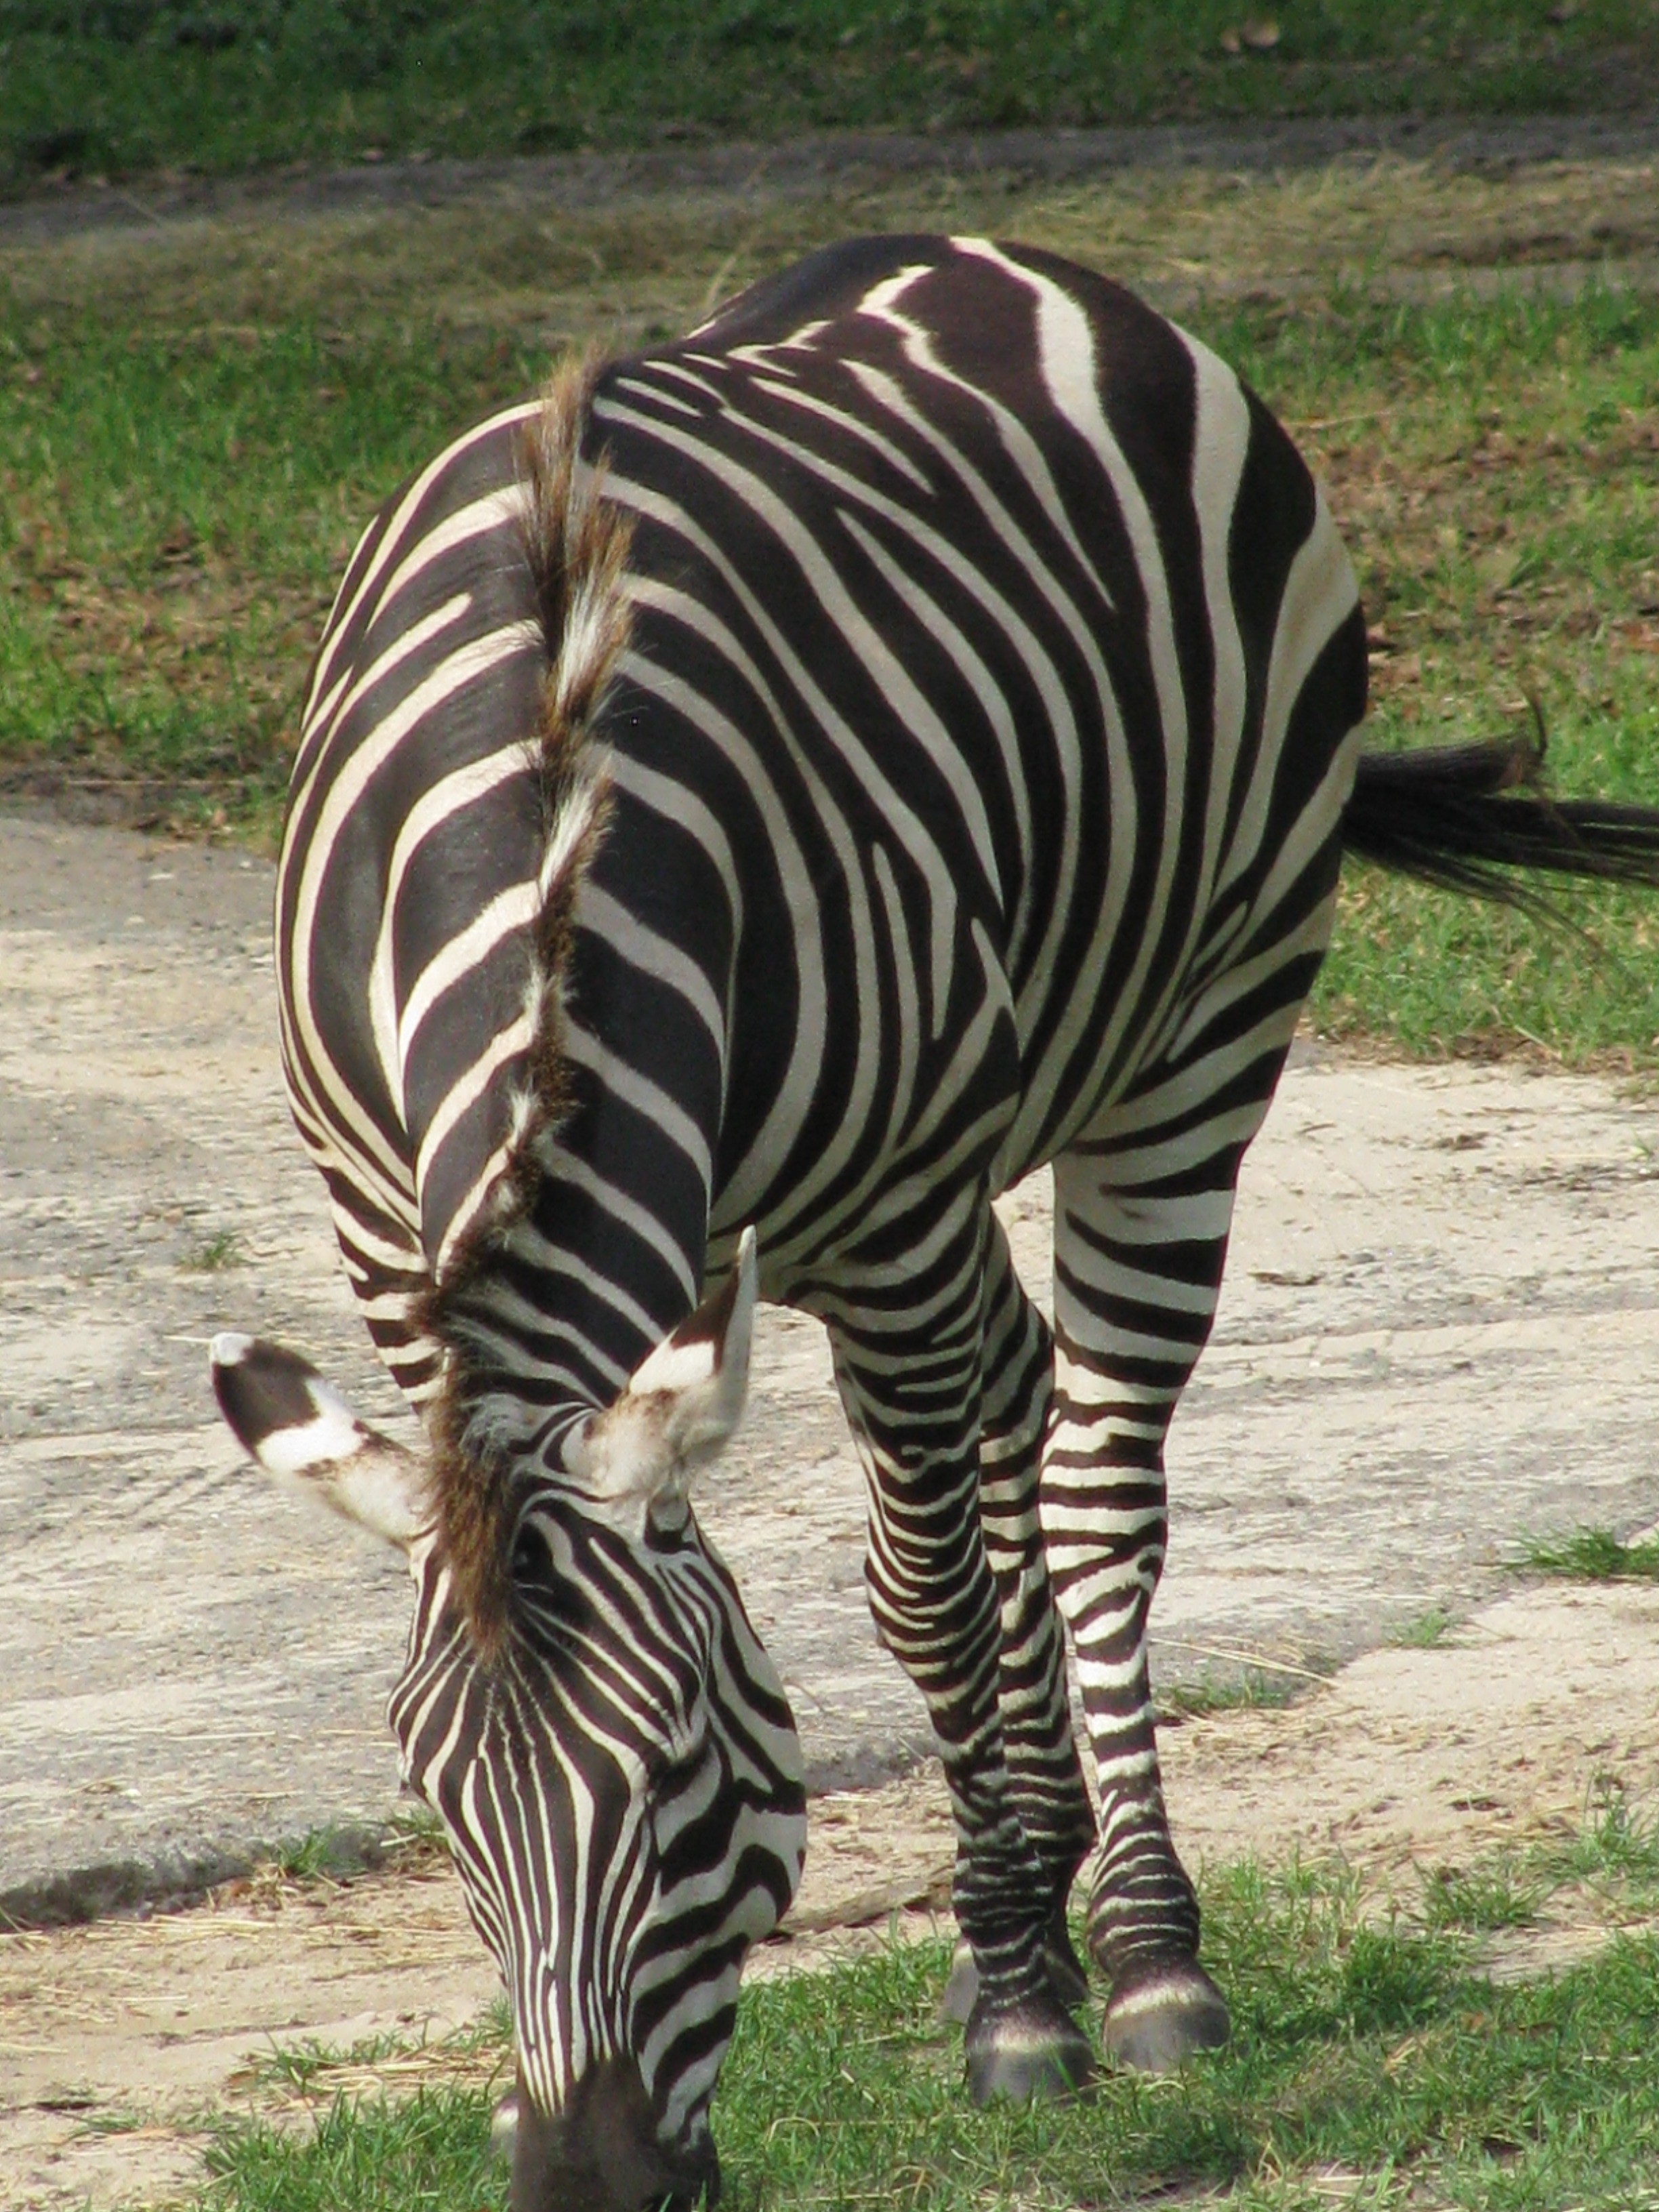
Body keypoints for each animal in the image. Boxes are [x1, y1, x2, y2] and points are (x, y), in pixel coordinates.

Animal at [211, 235, 1659, 2212]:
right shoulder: (391, 1236)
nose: (585, 2186)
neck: (544, 802)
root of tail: (999, 262)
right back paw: (1049, 1877)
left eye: (681, 1769)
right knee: (1019, 1389)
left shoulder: (886, 1222)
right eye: (432, 1798)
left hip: (1196, 1034)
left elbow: (923, 1600)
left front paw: (1023, 2005)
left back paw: (1137, 1951)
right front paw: (1003, 1934)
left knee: (1090, 1475)